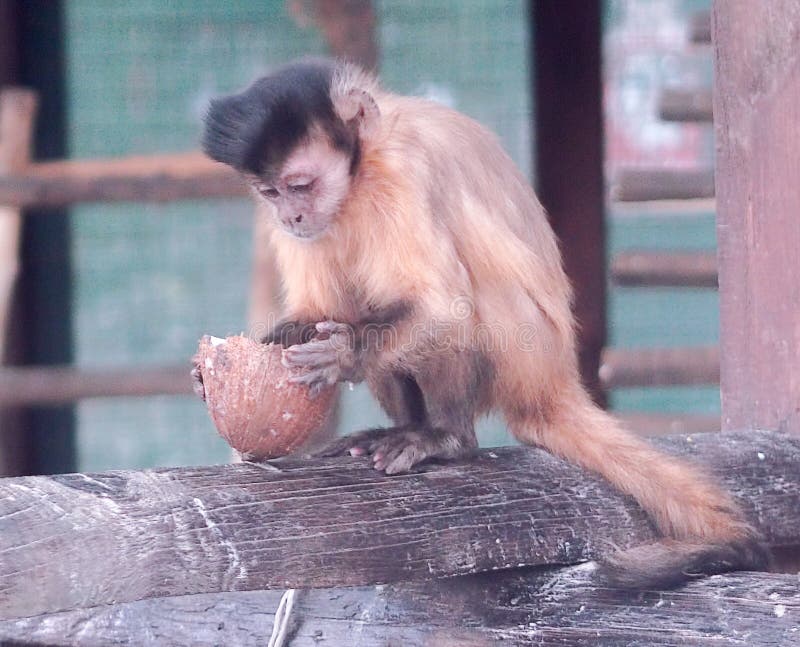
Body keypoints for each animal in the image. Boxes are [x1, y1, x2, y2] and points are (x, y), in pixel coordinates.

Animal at [198, 59, 769, 589]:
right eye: (272, 194)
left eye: (301, 185)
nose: (290, 218)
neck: (362, 174)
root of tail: (555, 382)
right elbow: (320, 311)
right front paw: (245, 355)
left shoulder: (401, 173)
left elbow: (443, 306)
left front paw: (344, 353)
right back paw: (407, 427)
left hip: (524, 360)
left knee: (464, 304)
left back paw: (447, 439)